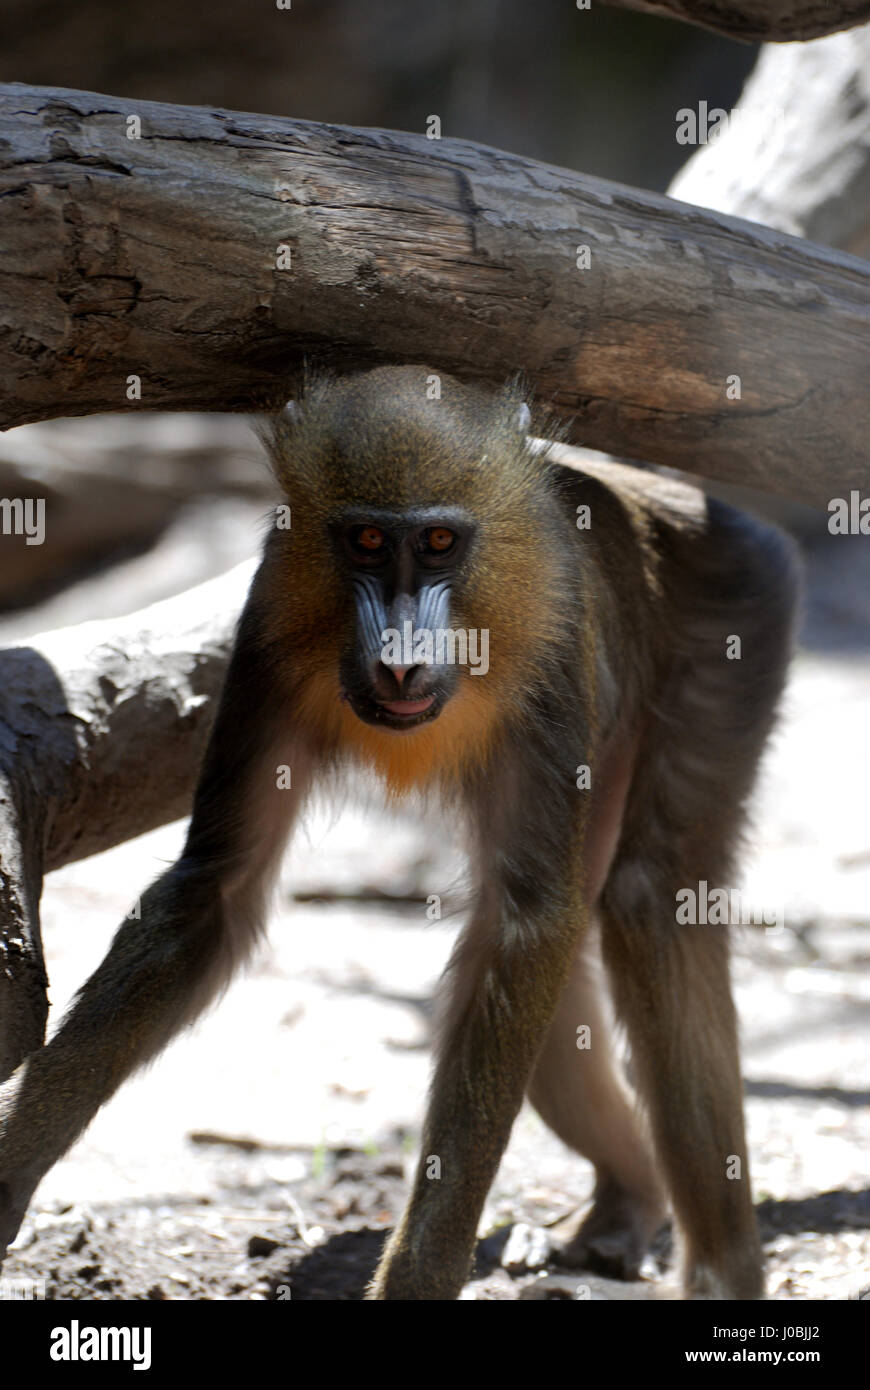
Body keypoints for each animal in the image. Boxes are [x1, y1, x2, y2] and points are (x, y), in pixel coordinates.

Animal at [0, 365, 800, 1299]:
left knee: (647, 901)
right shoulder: (268, 628)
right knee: (550, 970)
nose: (403, 660)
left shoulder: (556, 638)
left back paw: (722, 1267)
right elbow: (217, 886)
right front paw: (11, 1168)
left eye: (442, 544)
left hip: (734, 622)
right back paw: (626, 1202)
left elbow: (533, 923)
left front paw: (417, 1276)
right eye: (369, 543)